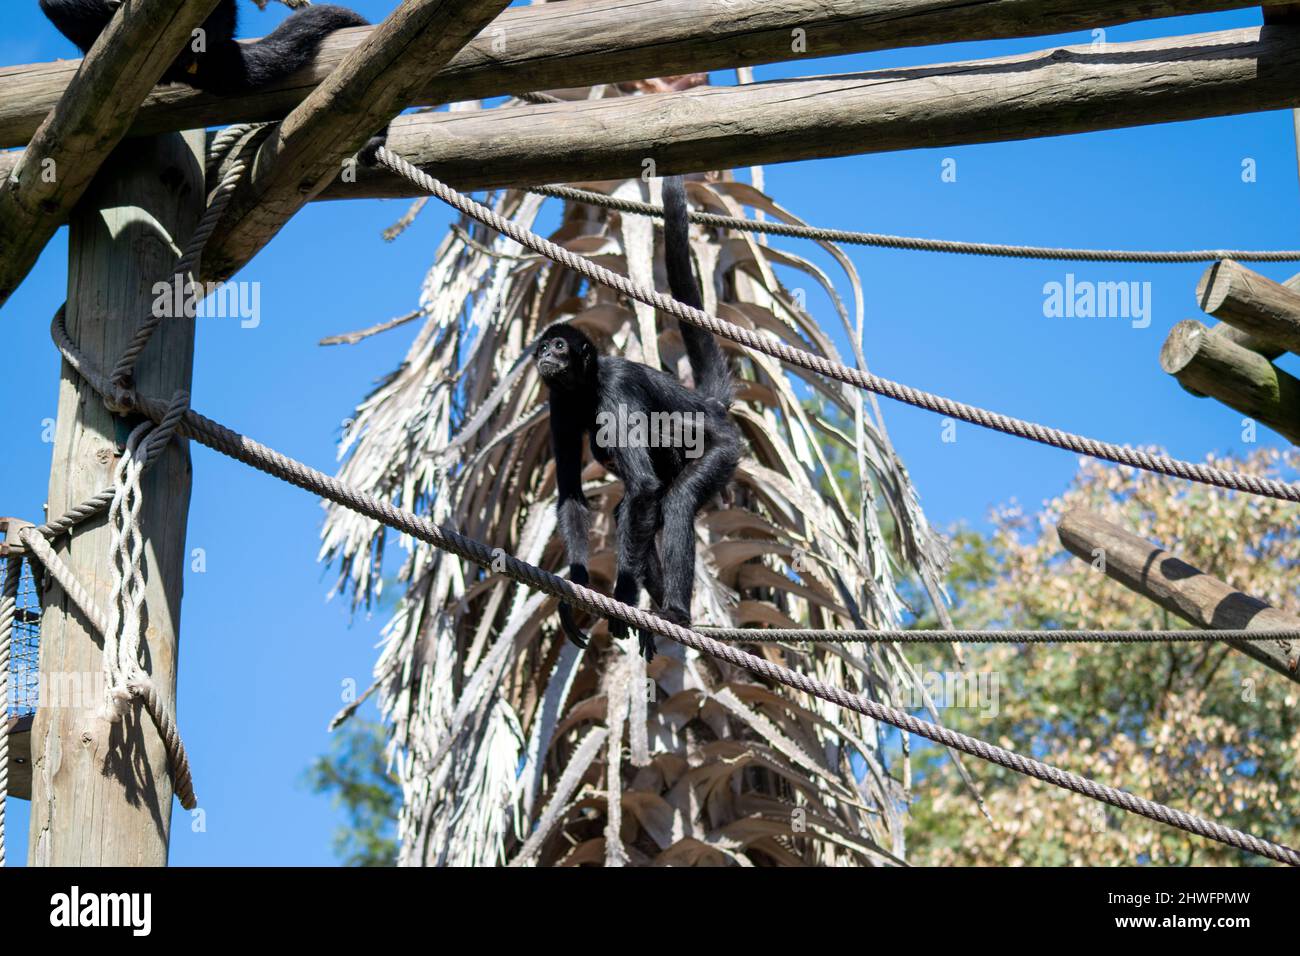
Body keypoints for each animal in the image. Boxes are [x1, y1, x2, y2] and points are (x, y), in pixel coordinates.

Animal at [534, 175, 741, 660]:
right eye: (543, 348)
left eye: (559, 347)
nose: (544, 356)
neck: (586, 389)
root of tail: (709, 406)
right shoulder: (559, 404)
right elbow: (573, 495)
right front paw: (579, 592)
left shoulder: (618, 388)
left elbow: (644, 487)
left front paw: (623, 598)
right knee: (633, 508)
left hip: (722, 446)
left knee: (673, 499)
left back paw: (675, 614)